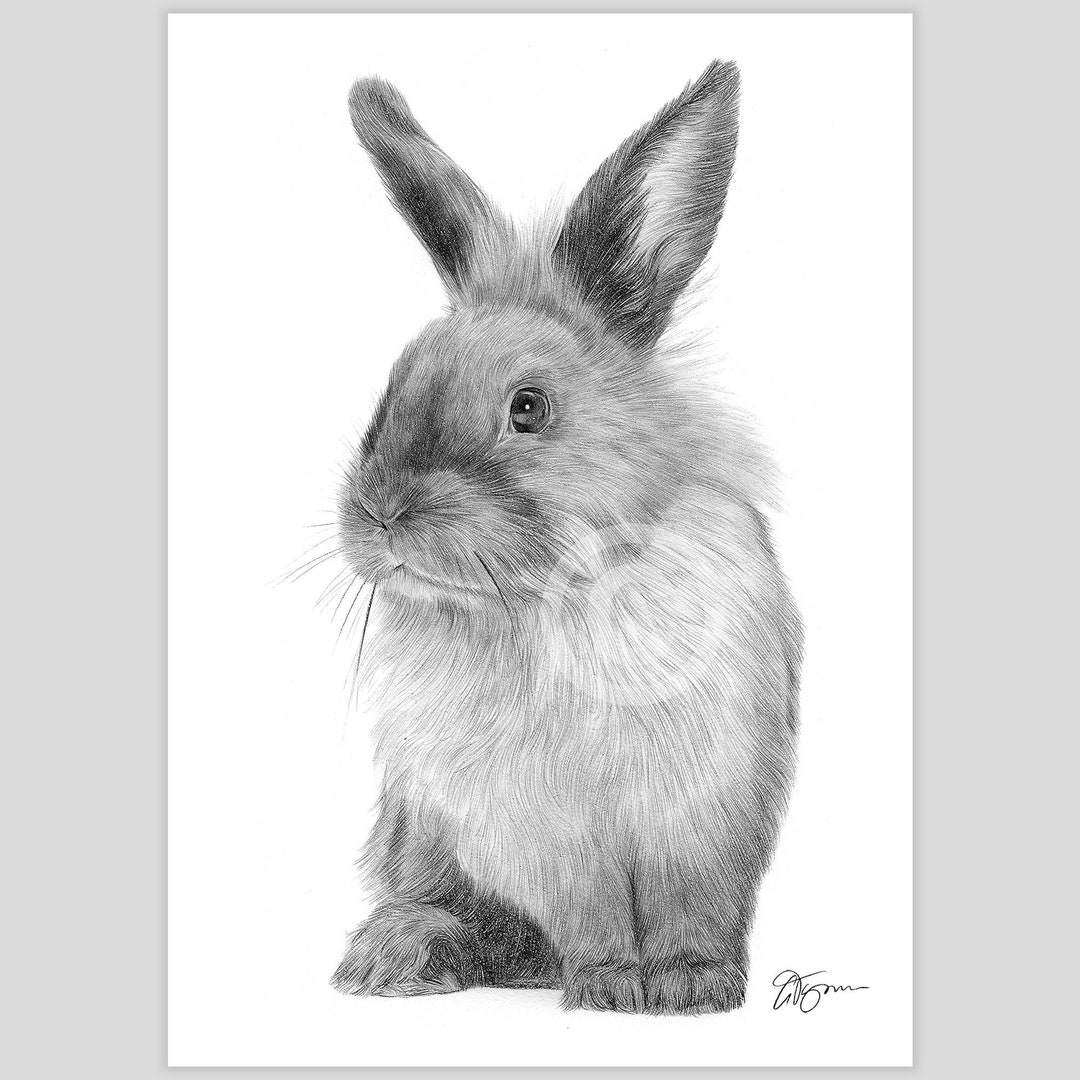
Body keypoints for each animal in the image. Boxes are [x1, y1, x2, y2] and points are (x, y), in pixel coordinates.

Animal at [329, 60, 803, 1015]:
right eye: (391, 392)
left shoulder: (708, 816)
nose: (385, 516)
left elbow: (695, 907)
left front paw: (695, 988)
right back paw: (395, 957)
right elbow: (593, 914)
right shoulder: (540, 835)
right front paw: (612, 986)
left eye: (528, 408)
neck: (570, 585)